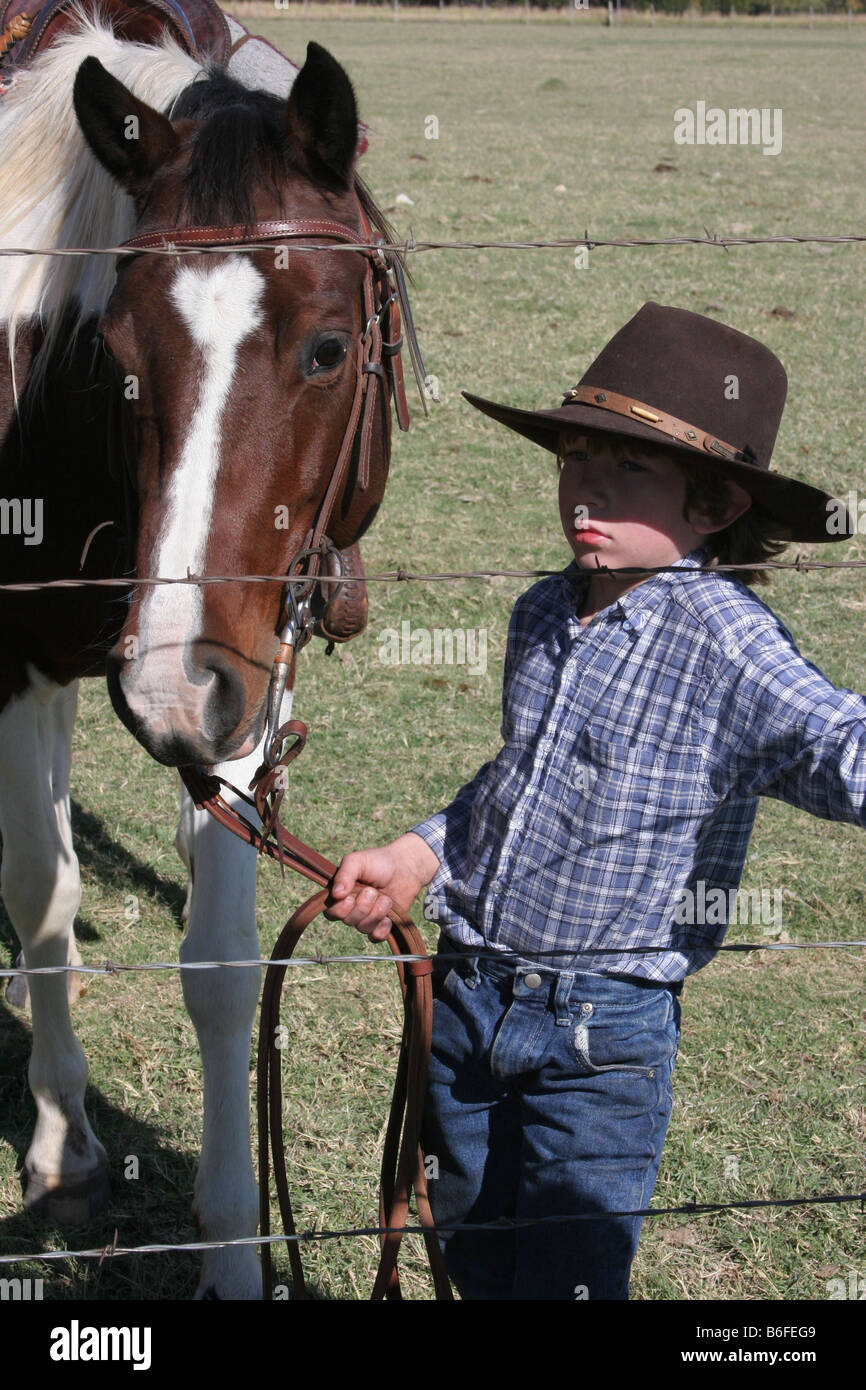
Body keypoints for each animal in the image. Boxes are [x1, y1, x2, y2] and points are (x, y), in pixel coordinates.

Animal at [0, 3, 407, 1298]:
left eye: (327, 348)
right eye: (118, 351)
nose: (168, 690)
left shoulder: (245, 666)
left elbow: (225, 968)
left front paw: (233, 1245)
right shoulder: (18, 658)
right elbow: (41, 887)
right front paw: (63, 1143)